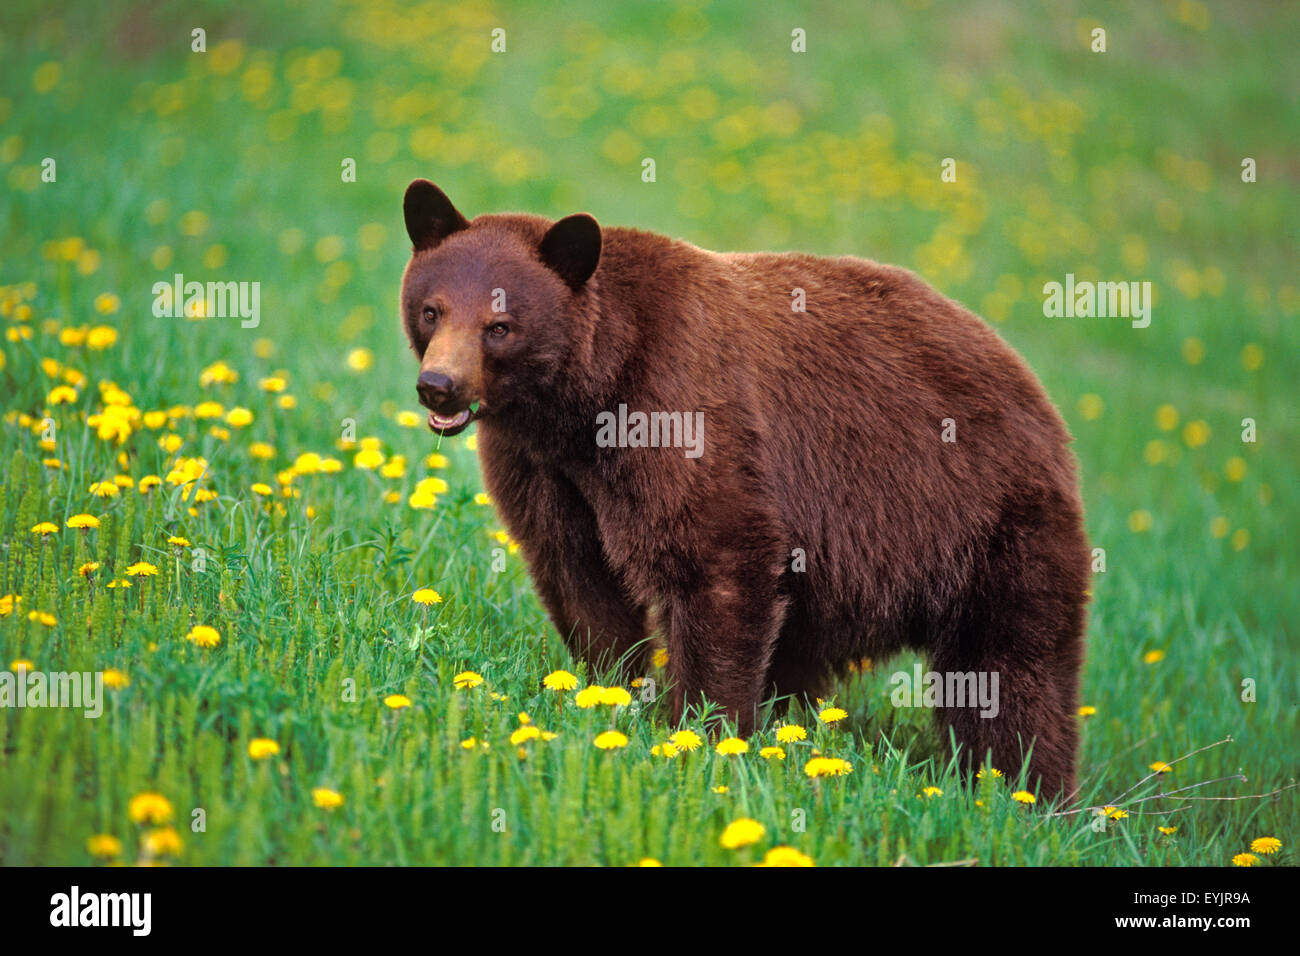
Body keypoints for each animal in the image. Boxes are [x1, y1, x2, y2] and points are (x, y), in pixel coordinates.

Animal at [399, 178, 1090, 799]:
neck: (581, 405)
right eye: (432, 309)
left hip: (986, 520)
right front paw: (609, 693)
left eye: (499, 325)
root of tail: (1036, 393)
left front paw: (698, 731)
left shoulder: (679, 411)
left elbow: (718, 560)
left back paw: (1023, 791)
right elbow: (578, 576)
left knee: (1010, 670)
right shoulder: (543, 469)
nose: (439, 387)